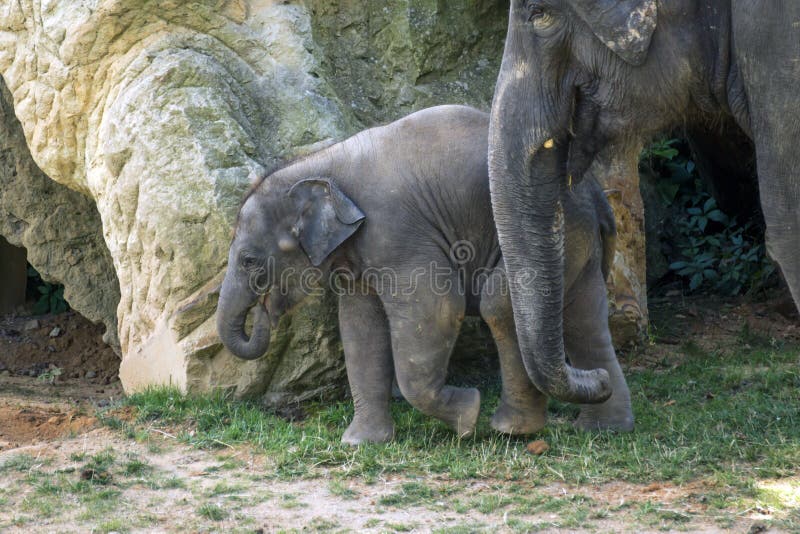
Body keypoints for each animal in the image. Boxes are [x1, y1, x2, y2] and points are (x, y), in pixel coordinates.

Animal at [218, 105, 633, 445]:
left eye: (249, 260)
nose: (264, 309)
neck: (321, 163)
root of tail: (594, 192)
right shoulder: (358, 252)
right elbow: (359, 327)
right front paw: (360, 443)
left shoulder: (396, 230)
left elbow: (436, 309)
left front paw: (467, 417)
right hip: (577, 239)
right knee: (583, 319)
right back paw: (603, 417)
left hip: (557, 231)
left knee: (500, 303)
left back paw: (514, 428)